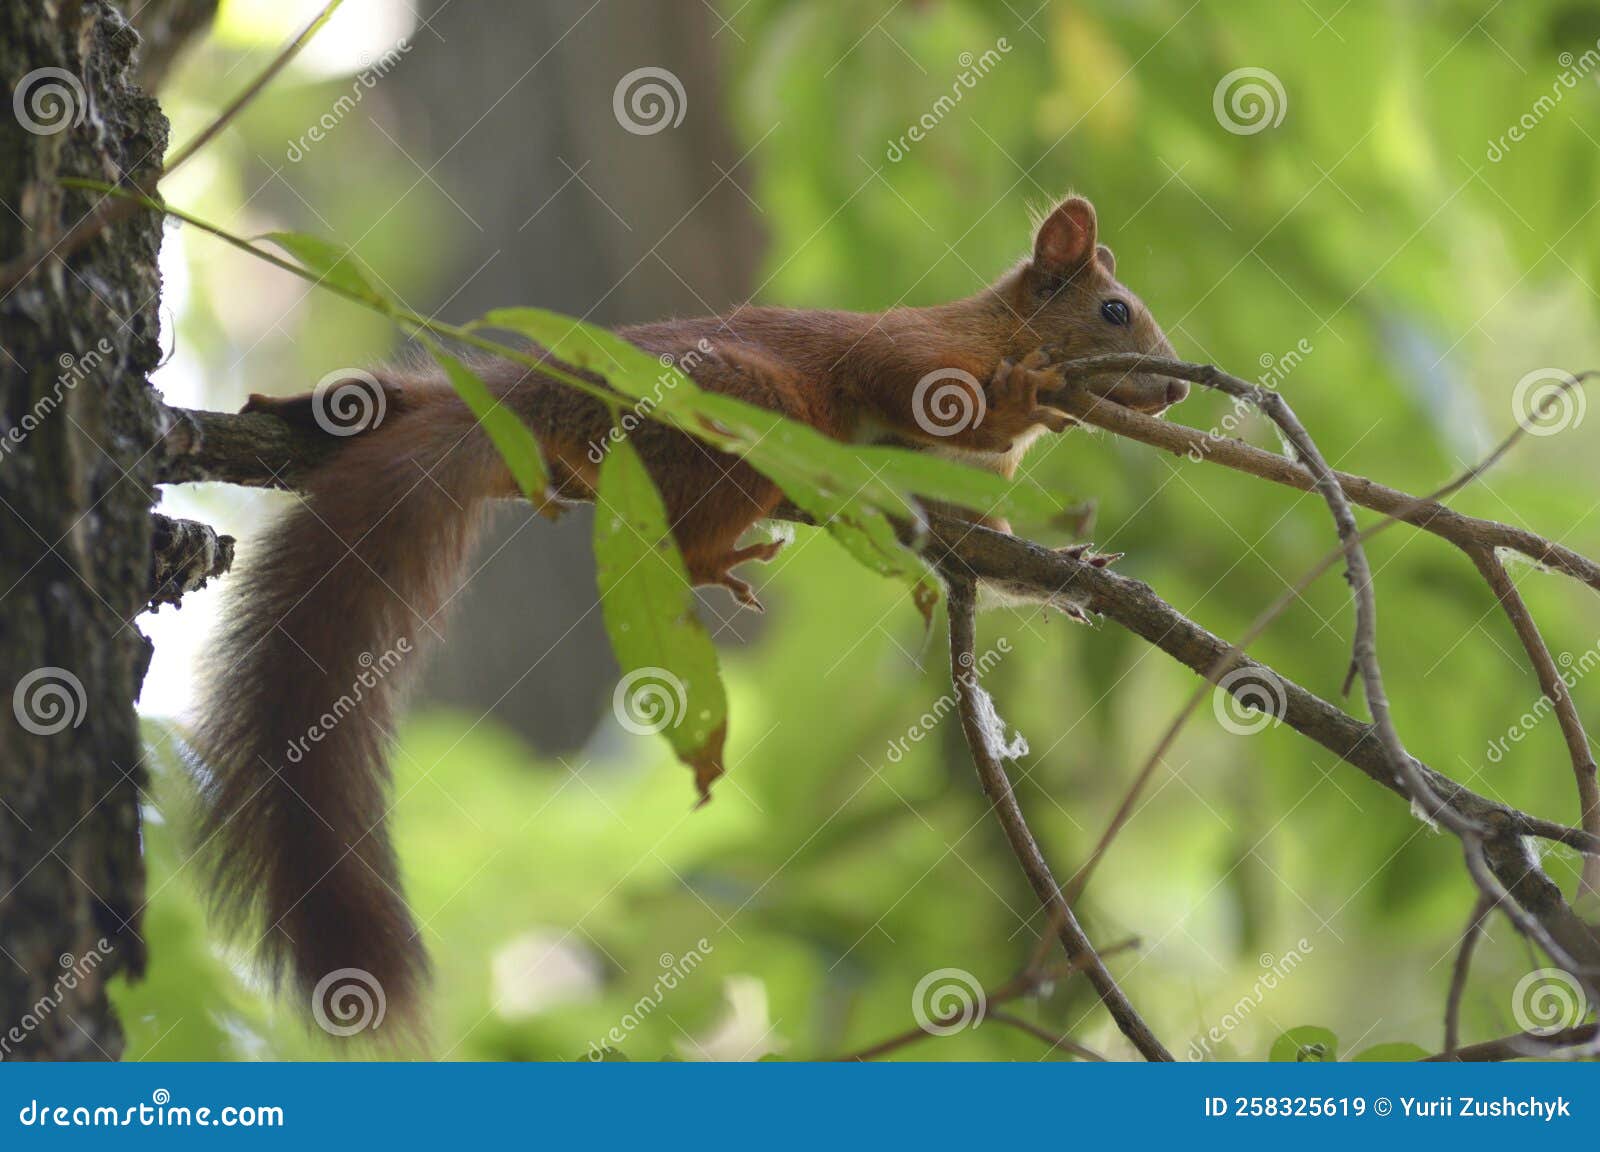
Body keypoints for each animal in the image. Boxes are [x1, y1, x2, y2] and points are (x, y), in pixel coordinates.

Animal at [189, 194, 1186, 1037]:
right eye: (1114, 313)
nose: (1177, 390)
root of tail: (542, 399)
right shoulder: (917, 352)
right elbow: (915, 387)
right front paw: (1028, 394)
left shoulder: (962, 503)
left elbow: (982, 549)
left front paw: (1073, 575)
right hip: (742, 406)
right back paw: (711, 559)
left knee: (413, 403)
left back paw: (319, 411)